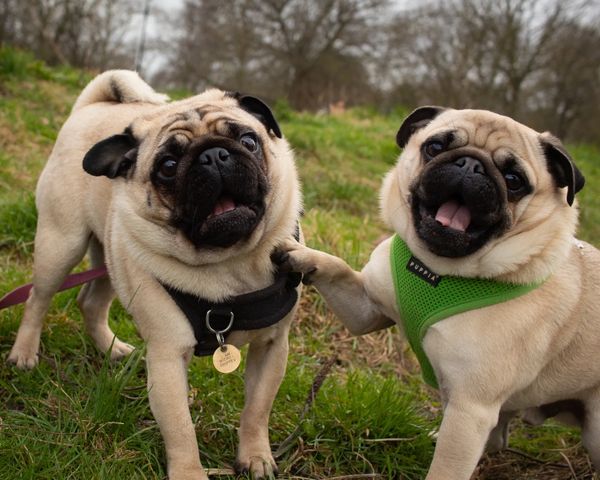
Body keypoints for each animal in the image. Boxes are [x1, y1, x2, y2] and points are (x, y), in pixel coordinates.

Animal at [8, 70, 302, 479]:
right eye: (167, 165)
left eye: (248, 140)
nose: (213, 155)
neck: (231, 263)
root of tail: (92, 106)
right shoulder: (166, 357)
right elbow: (180, 429)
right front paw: (190, 474)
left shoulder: (272, 346)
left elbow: (257, 409)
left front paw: (256, 457)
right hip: (60, 242)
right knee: (38, 299)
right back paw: (24, 354)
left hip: (112, 257)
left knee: (90, 302)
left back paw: (112, 348)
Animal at [282, 106, 600, 479]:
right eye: (435, 147)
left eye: (514, 180)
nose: (470, 164)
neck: (437, 271)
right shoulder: (366, 310)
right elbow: (337, 268)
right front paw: (301, 254)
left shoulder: (469, 410)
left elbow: (445, 469)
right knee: (497, 438)